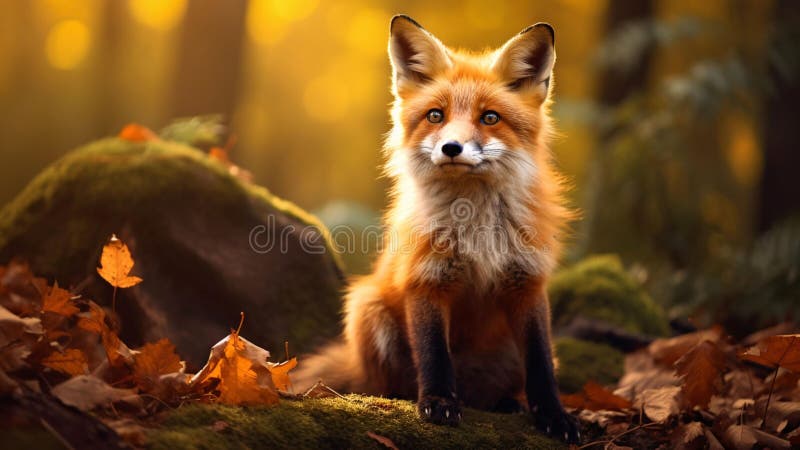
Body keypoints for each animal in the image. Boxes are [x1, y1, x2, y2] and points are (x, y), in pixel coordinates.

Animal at [295, 15, 580, 443]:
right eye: (435, 115)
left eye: (489, 117)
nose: (451, 148)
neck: (477, 227)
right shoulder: (426, 278)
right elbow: (433, 354)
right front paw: (439, 403)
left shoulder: (527, 282)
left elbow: (541, 364)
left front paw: (553, 415)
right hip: (368, 307)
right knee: (384, 383)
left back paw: (506, 403)